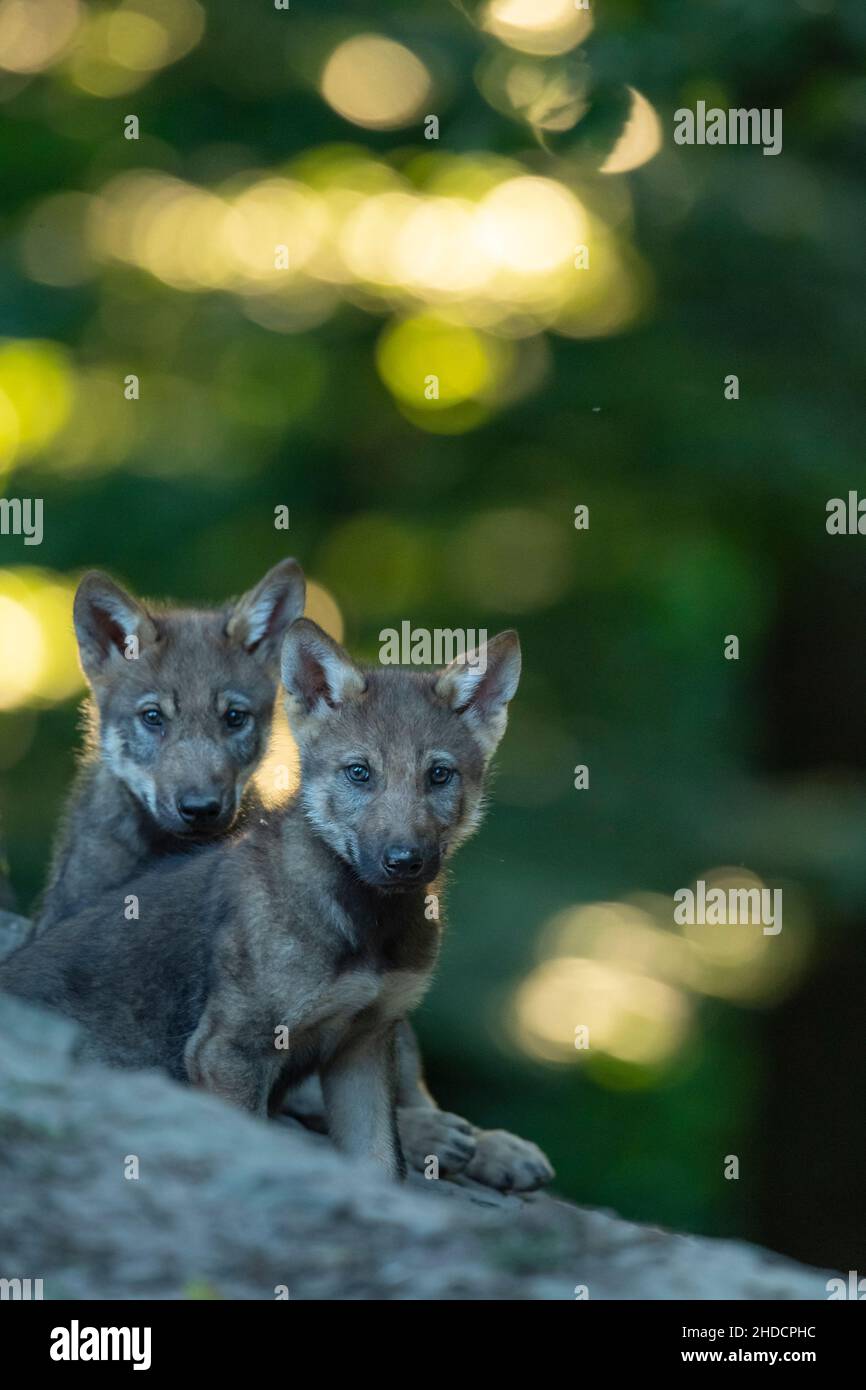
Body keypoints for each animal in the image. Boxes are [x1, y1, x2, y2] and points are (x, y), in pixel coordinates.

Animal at [2, 620, 549, 1184]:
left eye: (439, 775)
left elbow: (379, 1167)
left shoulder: (364, 1043)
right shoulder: (231, 1049)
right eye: (359, 772)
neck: (368, 928)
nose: (404, 861)